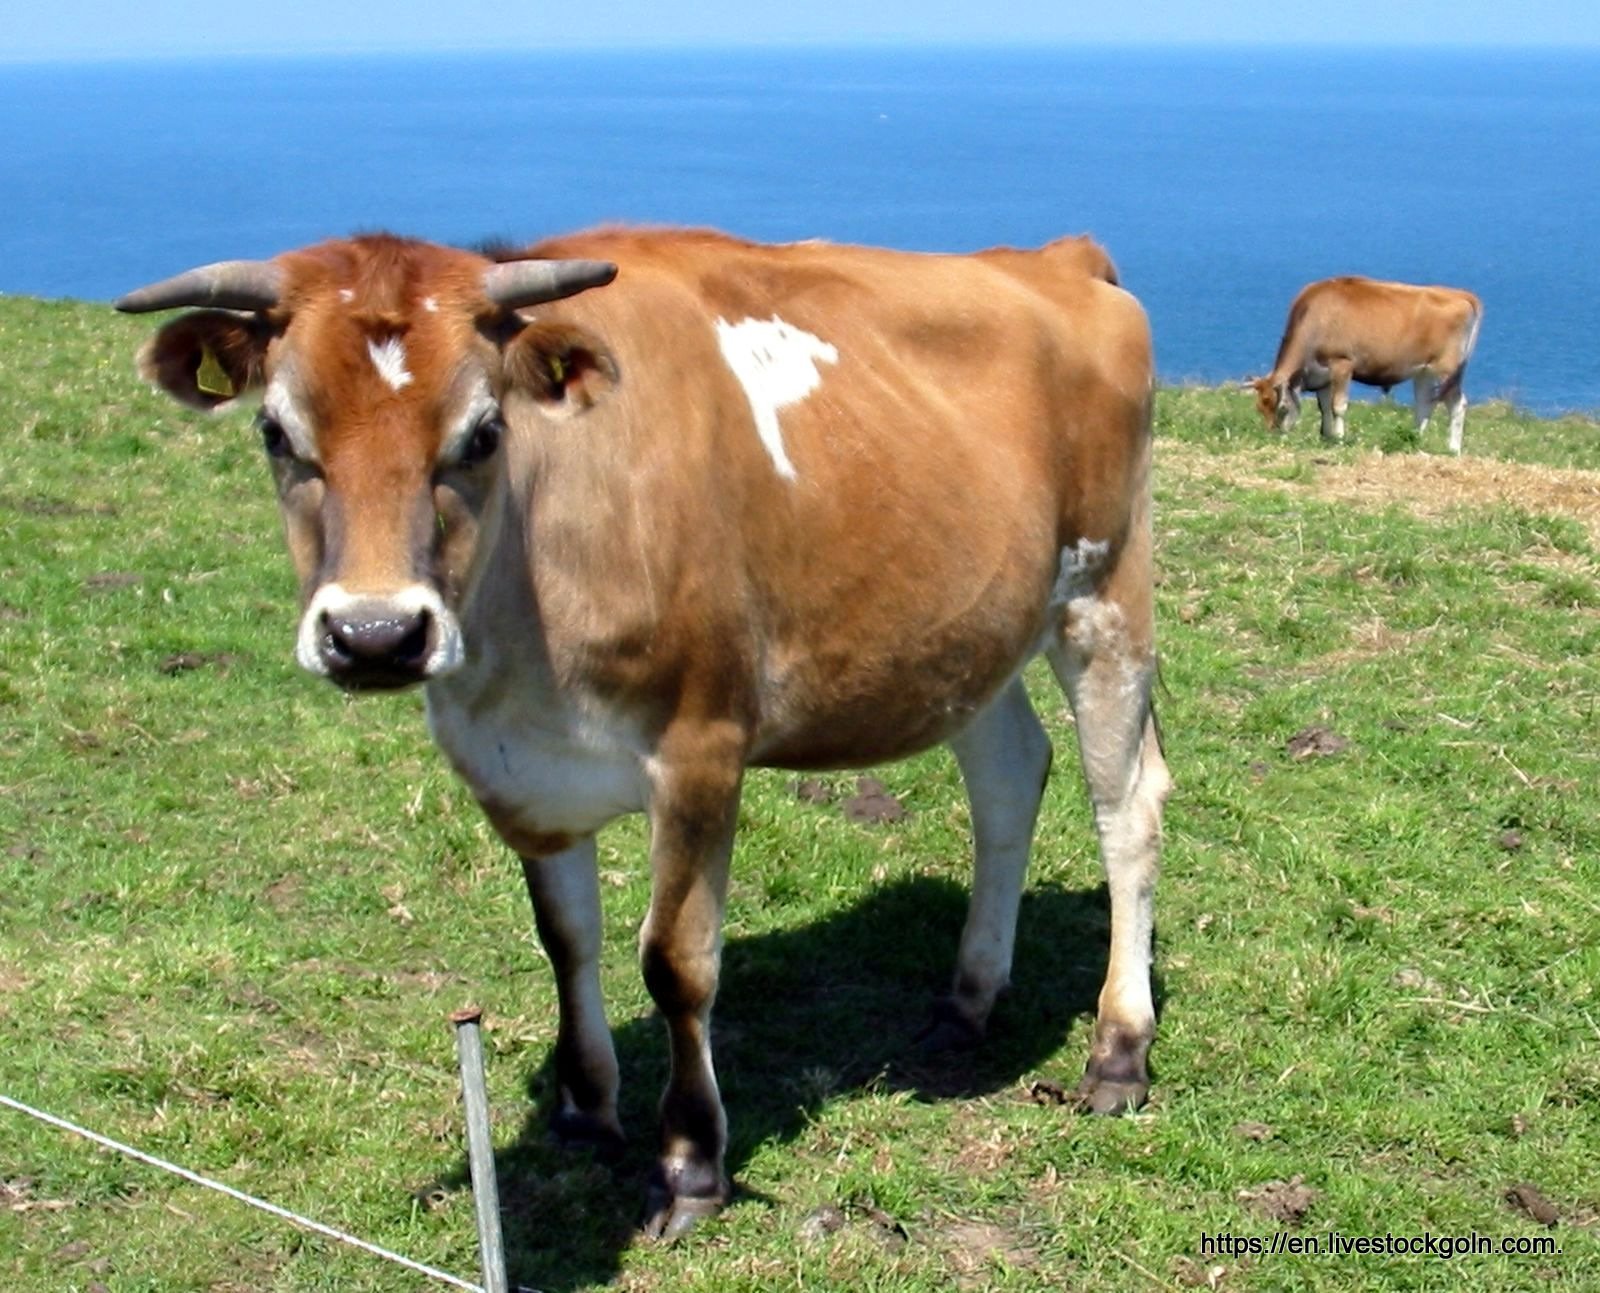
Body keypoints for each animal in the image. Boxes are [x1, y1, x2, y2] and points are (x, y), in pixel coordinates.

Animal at [116, 227, 1170, 1240]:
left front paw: (692, 1165)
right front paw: (585, 1107)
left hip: (1106, 592)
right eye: (275, 431)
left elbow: (676, 961)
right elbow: (564, 938)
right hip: (970, 631)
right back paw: (968, 999)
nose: (375, 635)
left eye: (484, 431)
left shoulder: (701, 747)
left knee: (1128, 809)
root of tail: (1055, 258)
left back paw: (1118, 1050)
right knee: (1008, 777)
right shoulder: (519, 771)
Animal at [1248, 276, 1483, 453]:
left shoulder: (1342, 364)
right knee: (1425, 403)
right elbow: (1324, 407)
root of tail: (1461, 294)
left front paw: (1339, 439)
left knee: (1457, 404)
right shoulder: (1322, 375)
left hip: (1447, 370)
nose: (1274, 434)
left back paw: (1453, 448)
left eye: (1281, 407)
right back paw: (1414, 439)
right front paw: (1327, 437)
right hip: (1424, 371)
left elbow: (1338, 406)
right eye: (1259, 407)